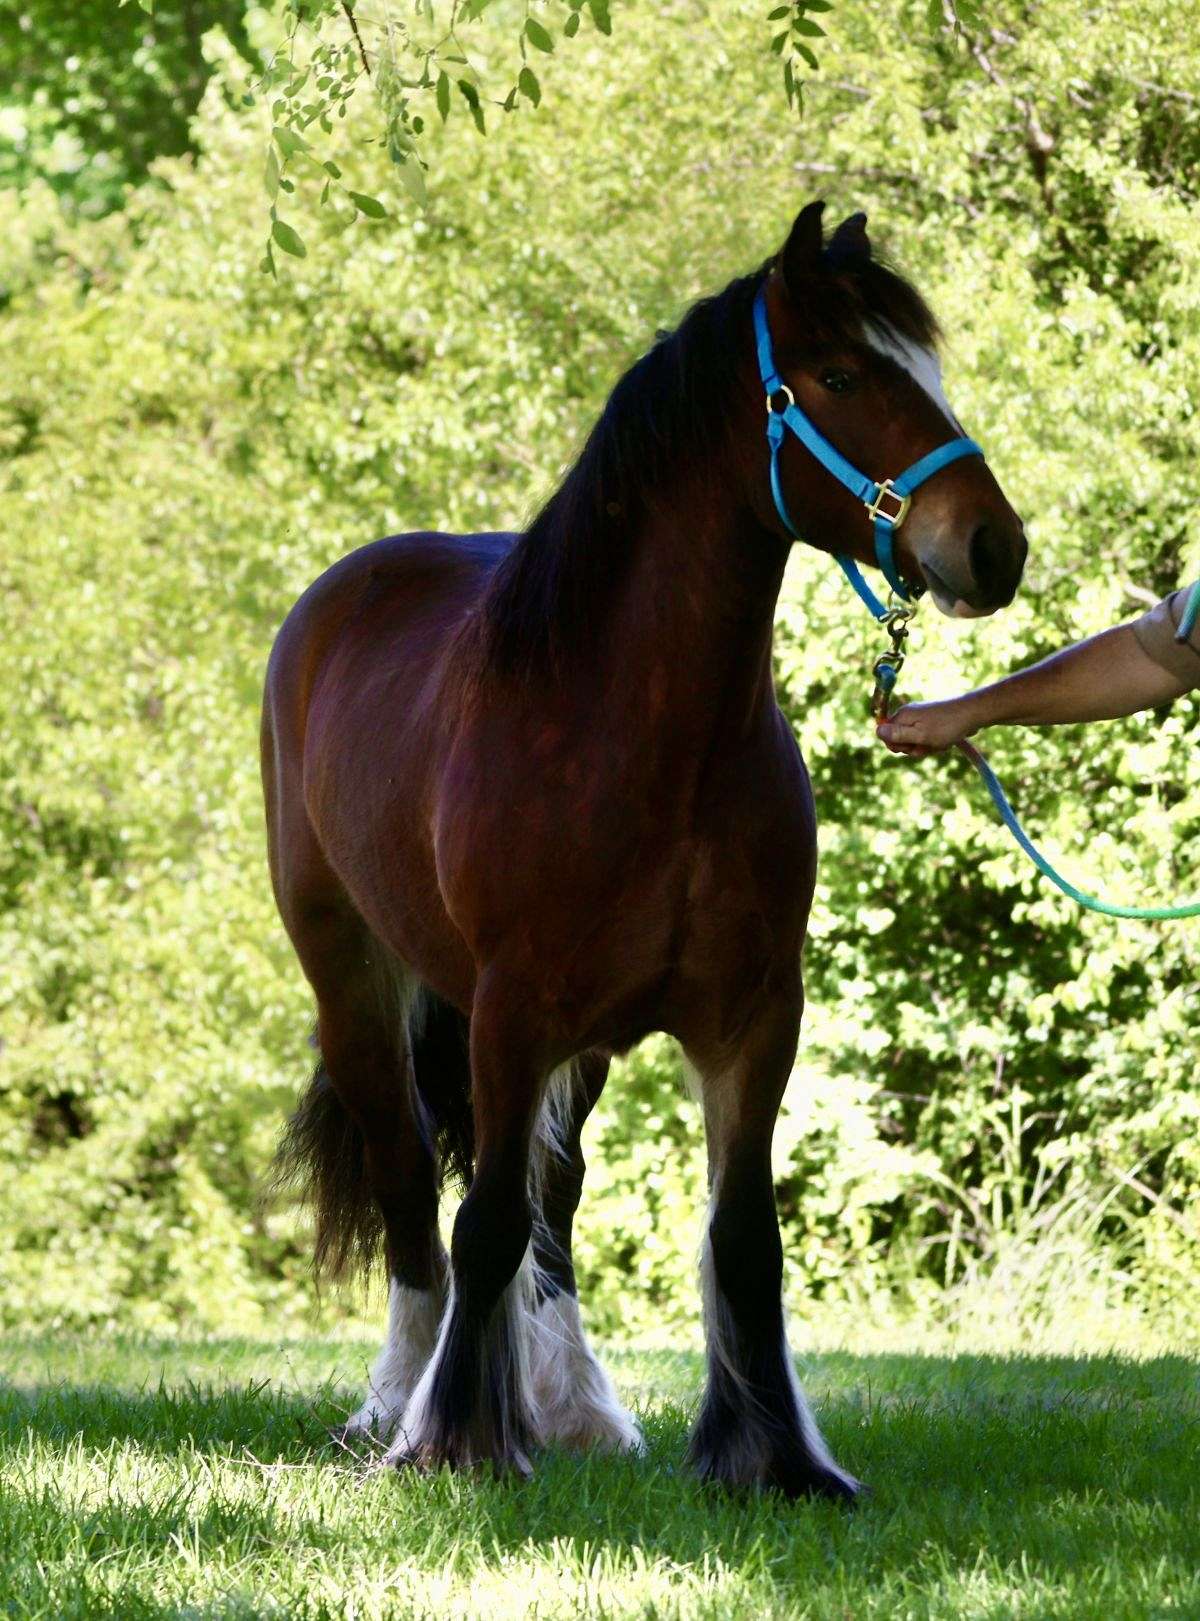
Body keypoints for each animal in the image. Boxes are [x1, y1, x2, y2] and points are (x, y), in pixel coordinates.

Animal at [262, 199, 1027, 1500]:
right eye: (839, 373)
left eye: (925, 370)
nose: (992, 546)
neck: (642, 731)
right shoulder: (510, 1011)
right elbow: (481, 1223)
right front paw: (455, 1442)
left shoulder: (752, 1018)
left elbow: (739, 1238)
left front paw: (772, 1462)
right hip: (357, 985)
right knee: (417, 1187)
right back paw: (389, 1407)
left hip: (581, 1045)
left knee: (553, 1201)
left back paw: (572, 1408)